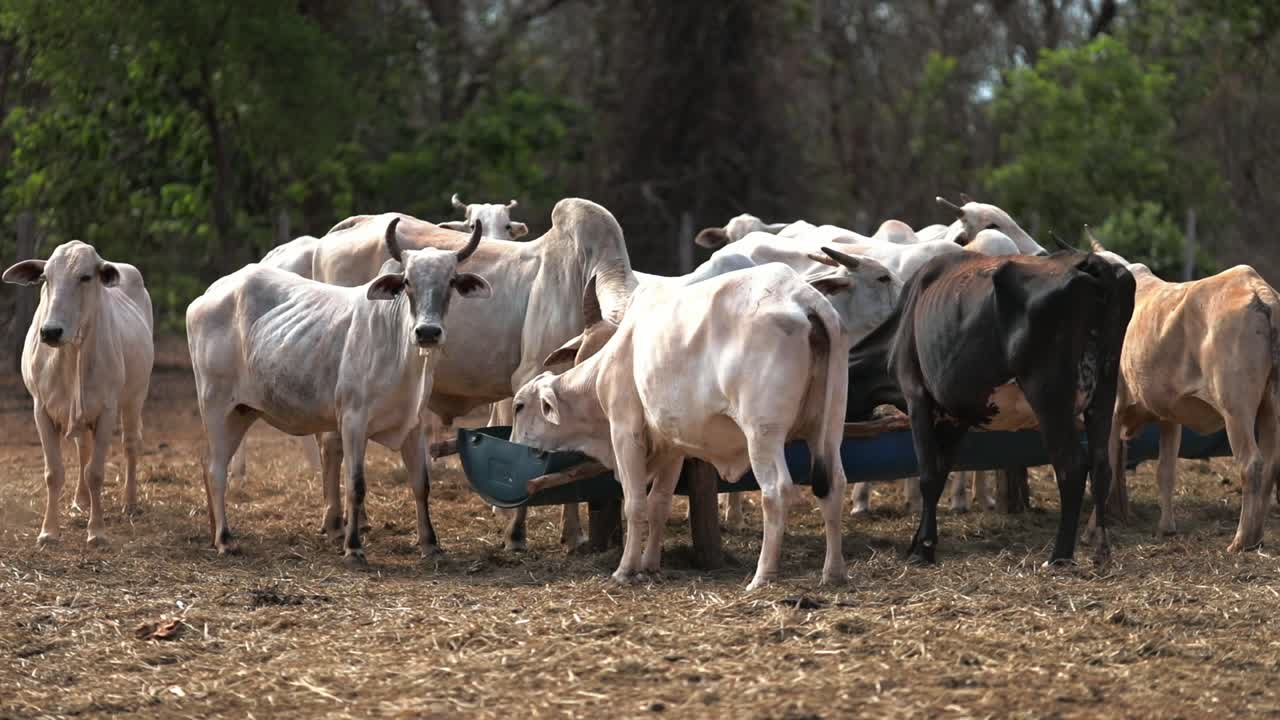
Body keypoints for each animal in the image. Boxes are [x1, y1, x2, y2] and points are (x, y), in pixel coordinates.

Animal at [3, 241, 154, 547]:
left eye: (85, 277)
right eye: (46, 278)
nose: (50, 332)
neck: (71, 354)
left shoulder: (107, 410)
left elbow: (96, 472)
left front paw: (96, 531)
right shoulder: (41, 410)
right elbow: (54, 473)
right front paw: (48, 531)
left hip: (135, 397)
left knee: (130, 444)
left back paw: (129, 502)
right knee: (83, 448)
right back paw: (81, 500)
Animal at [186, 220, 491, 564]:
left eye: (450, 282)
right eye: (407, 282)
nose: (427, 332)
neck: (399, 351)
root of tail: (210, 294)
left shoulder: (413, 425)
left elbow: (420, 483)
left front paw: (430, 543)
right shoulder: (353, 422)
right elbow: (356, 485)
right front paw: (353, 545)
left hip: (241, 412)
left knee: (209, 464)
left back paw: (214, 532)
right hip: (216, 406)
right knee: (216, 470)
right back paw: (224, 539)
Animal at [512, 262, 849, 590]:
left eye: (518, 407)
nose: (514, 444)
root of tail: (803, 299)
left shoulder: (624, 432)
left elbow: (635, 504)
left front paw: (625, 569)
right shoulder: (672, 447)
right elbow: (658, 504)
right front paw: (649, 565)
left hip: (763, 435)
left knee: (776, 492)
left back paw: (763, 575)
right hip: (828, 428)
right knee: (833, 485)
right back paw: (833, 573)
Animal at [844, 248, 1134, 565]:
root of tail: (1087, 261)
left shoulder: (917, 398)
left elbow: (928, 476)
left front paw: (923, 549)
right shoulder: (955, 415)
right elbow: (940, 473)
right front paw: (919, 542)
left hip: (1048, 396)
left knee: (1071, 466)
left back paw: (1059, 557)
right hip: (1103, 391)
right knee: (1101, 465)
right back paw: (1101, 550)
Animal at [1087, 229, 1280, 551]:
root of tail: (1260, 294)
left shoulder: (1112, 409)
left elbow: (1107, 469)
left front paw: (1092, 530)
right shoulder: (1169, 417)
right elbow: (1165, 472)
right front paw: (1166, 528)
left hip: (1236, 410)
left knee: (1251, 464)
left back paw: (1240, 541)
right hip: (1271, 406)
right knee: (1271, 465)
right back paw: (1256, 538)